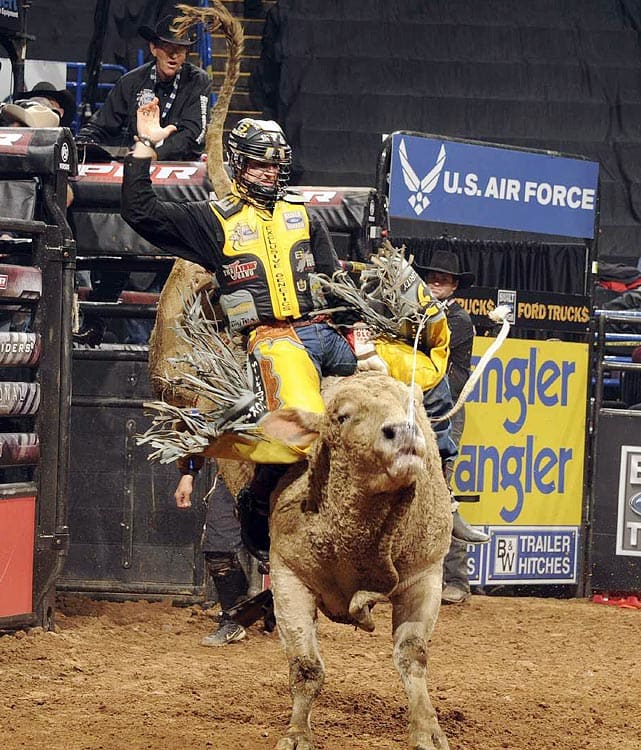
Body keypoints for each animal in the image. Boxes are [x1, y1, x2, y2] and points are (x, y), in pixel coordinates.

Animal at [260, 372, 453, 750]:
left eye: (411, 406)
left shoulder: (424, 576)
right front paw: (296, 733)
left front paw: (428, 730)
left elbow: (412, 655)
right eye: (342, 416)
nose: (404, 431)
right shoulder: (288, 575)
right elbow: (305, 666)